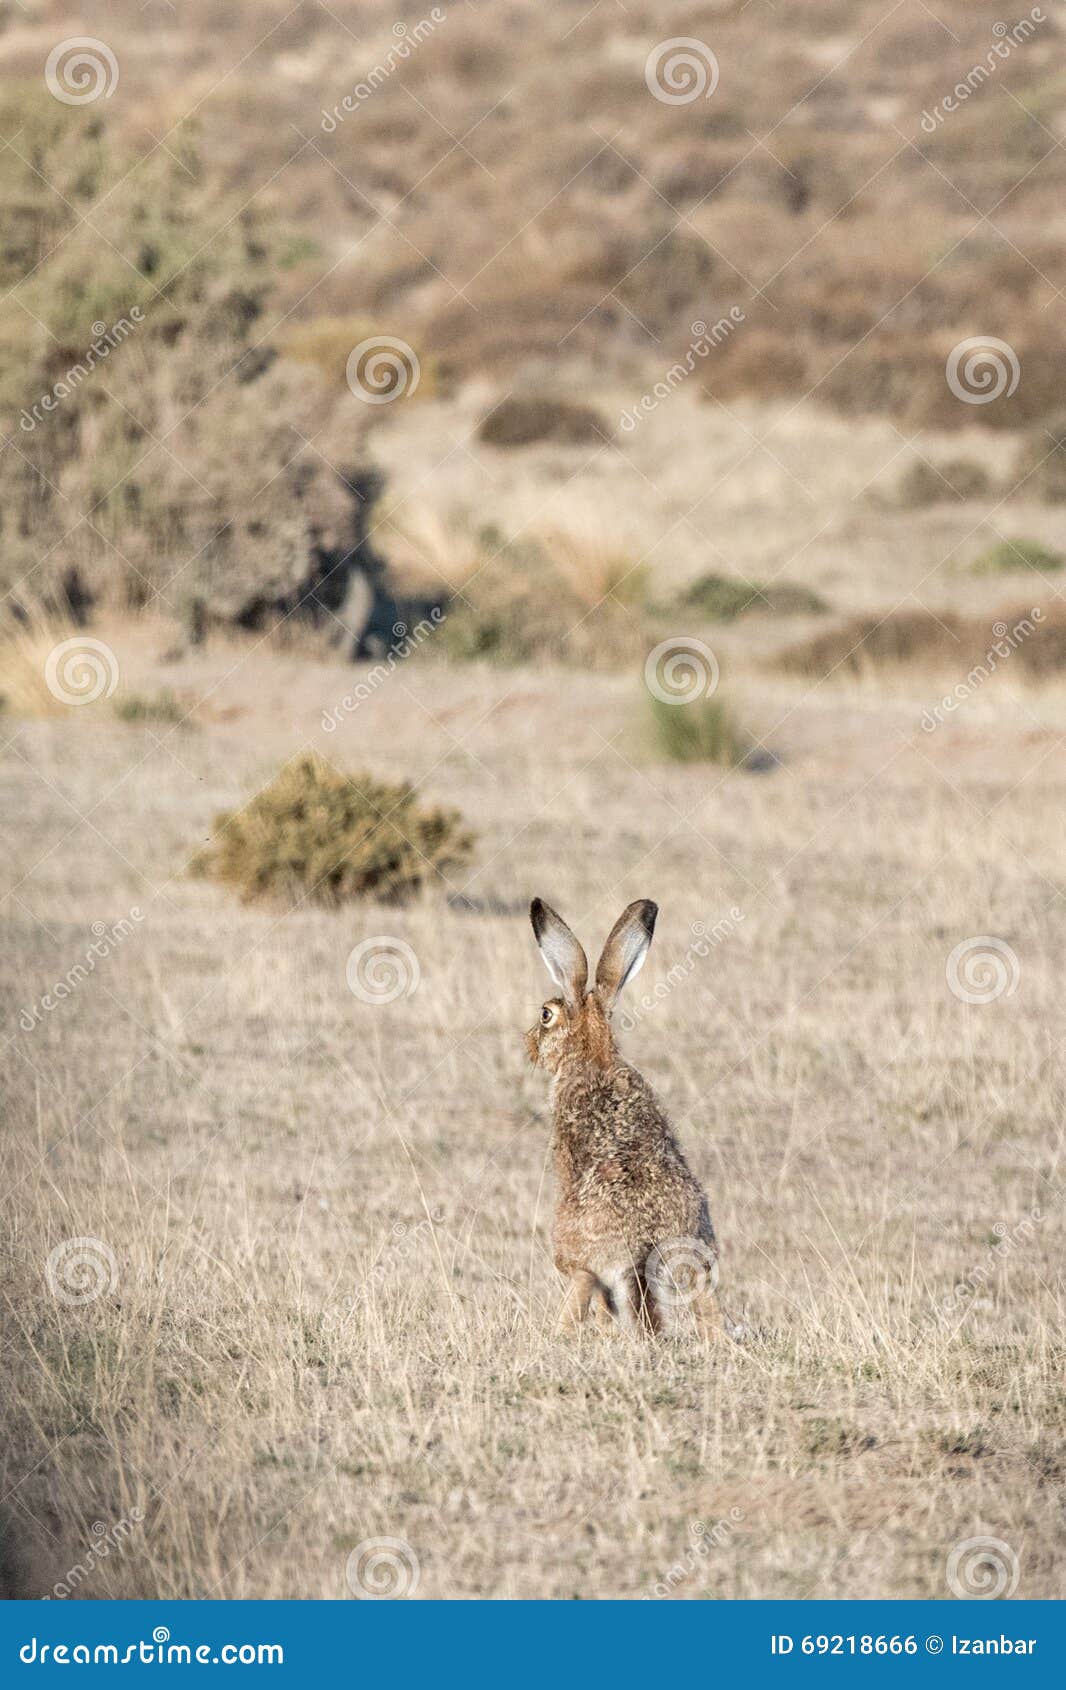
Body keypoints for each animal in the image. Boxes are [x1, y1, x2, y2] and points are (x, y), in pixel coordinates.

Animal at [526, 896, 720, 1339]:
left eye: (546, 1015)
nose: (529, 1045)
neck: (593, 1053)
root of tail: (643, 1250)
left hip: (575, 1254)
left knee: (583, 1288)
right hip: (701, 1258)